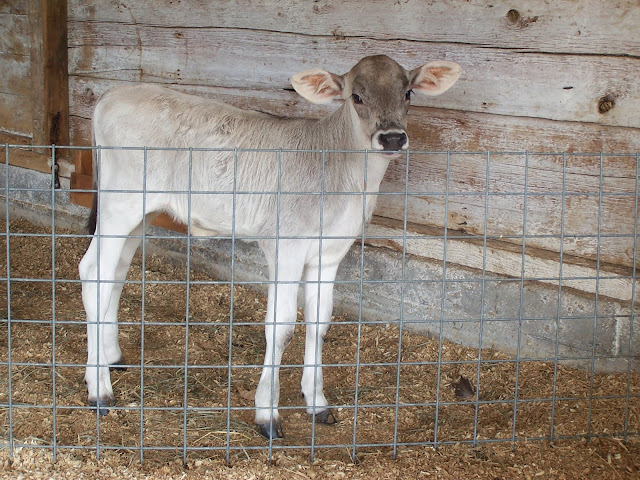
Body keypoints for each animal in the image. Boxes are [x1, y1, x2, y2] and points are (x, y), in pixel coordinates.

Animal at [79, 54, 461, 439]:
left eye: (408, 92)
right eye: (356, 97)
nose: (393, 137)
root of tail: (113, 93)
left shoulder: (330, 254)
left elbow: (319, 322)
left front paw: (317, 402)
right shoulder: (285, 247)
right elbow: (281, 327)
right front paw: (268, 413)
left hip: (141, 214)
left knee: (115, 274)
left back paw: (112, 357)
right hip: (119, 206)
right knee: (93, 271)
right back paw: (99, 389)